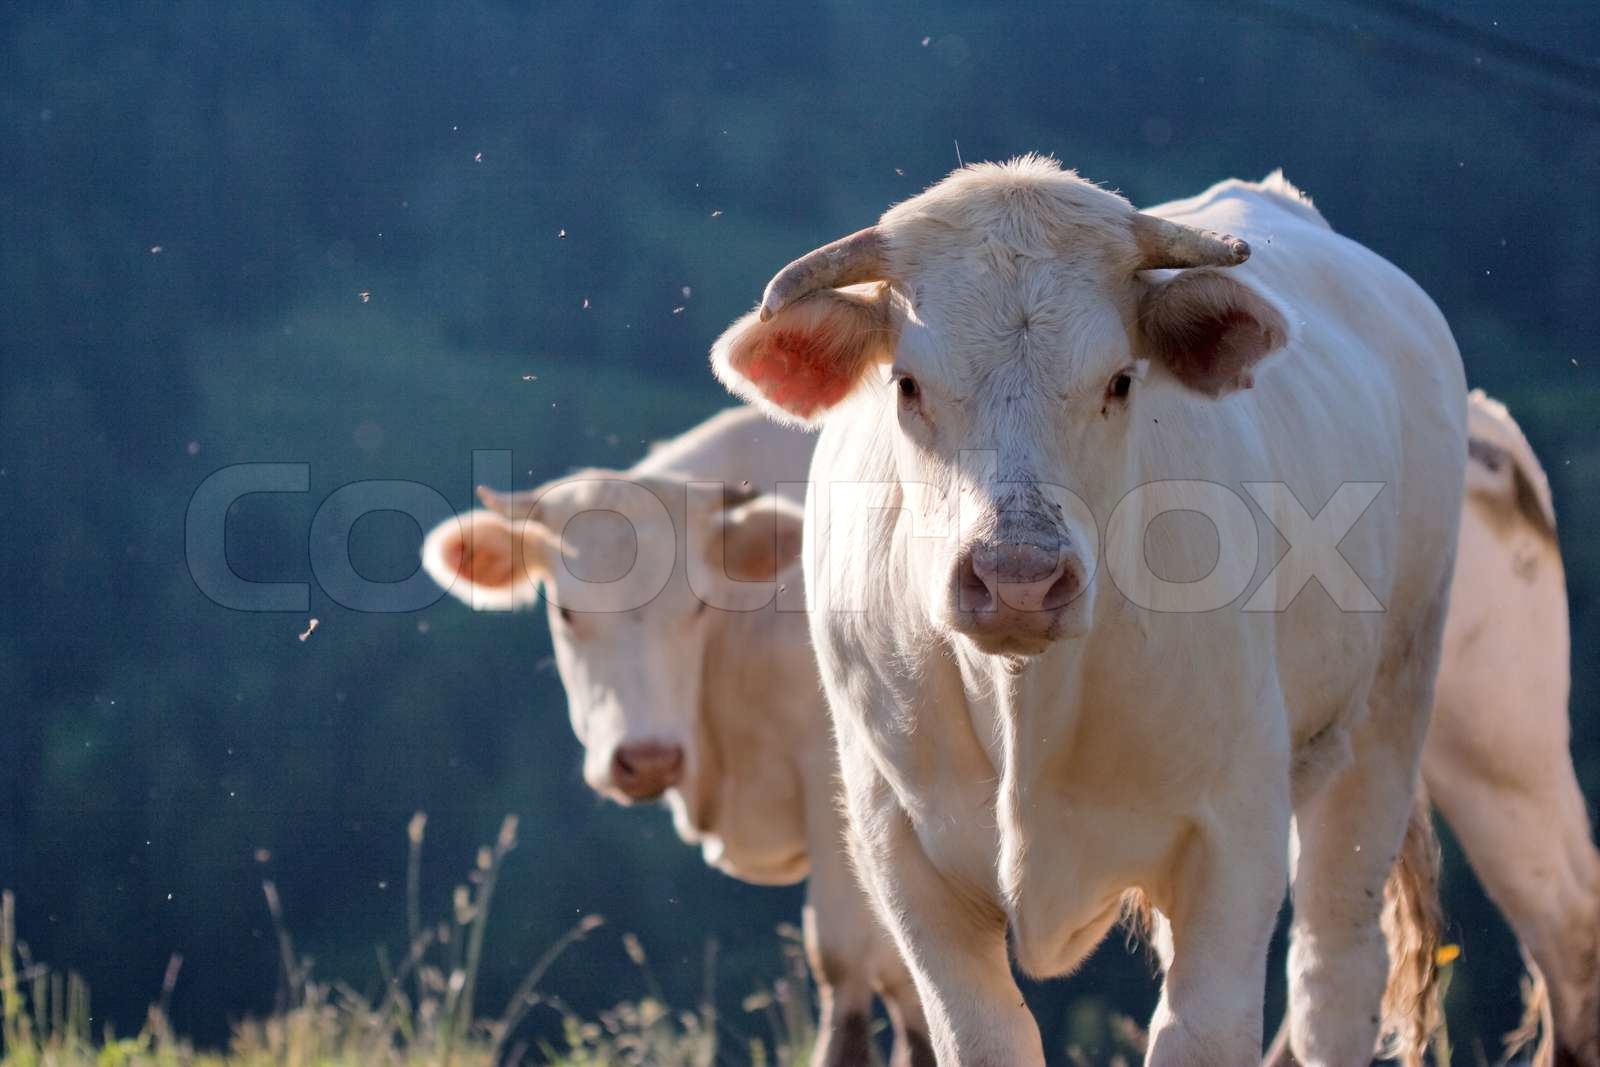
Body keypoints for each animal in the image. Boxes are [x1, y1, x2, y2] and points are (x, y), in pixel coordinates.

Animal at [711, 156, 1468, 1066]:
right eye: (907, 384)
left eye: (1120, 380)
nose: (1019, 577)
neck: (1026, 698)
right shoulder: (899, 844)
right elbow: (984, 1035)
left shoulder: (1236, 836)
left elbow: (1203, 1031)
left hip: (1388, 717)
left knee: (1333, 971)